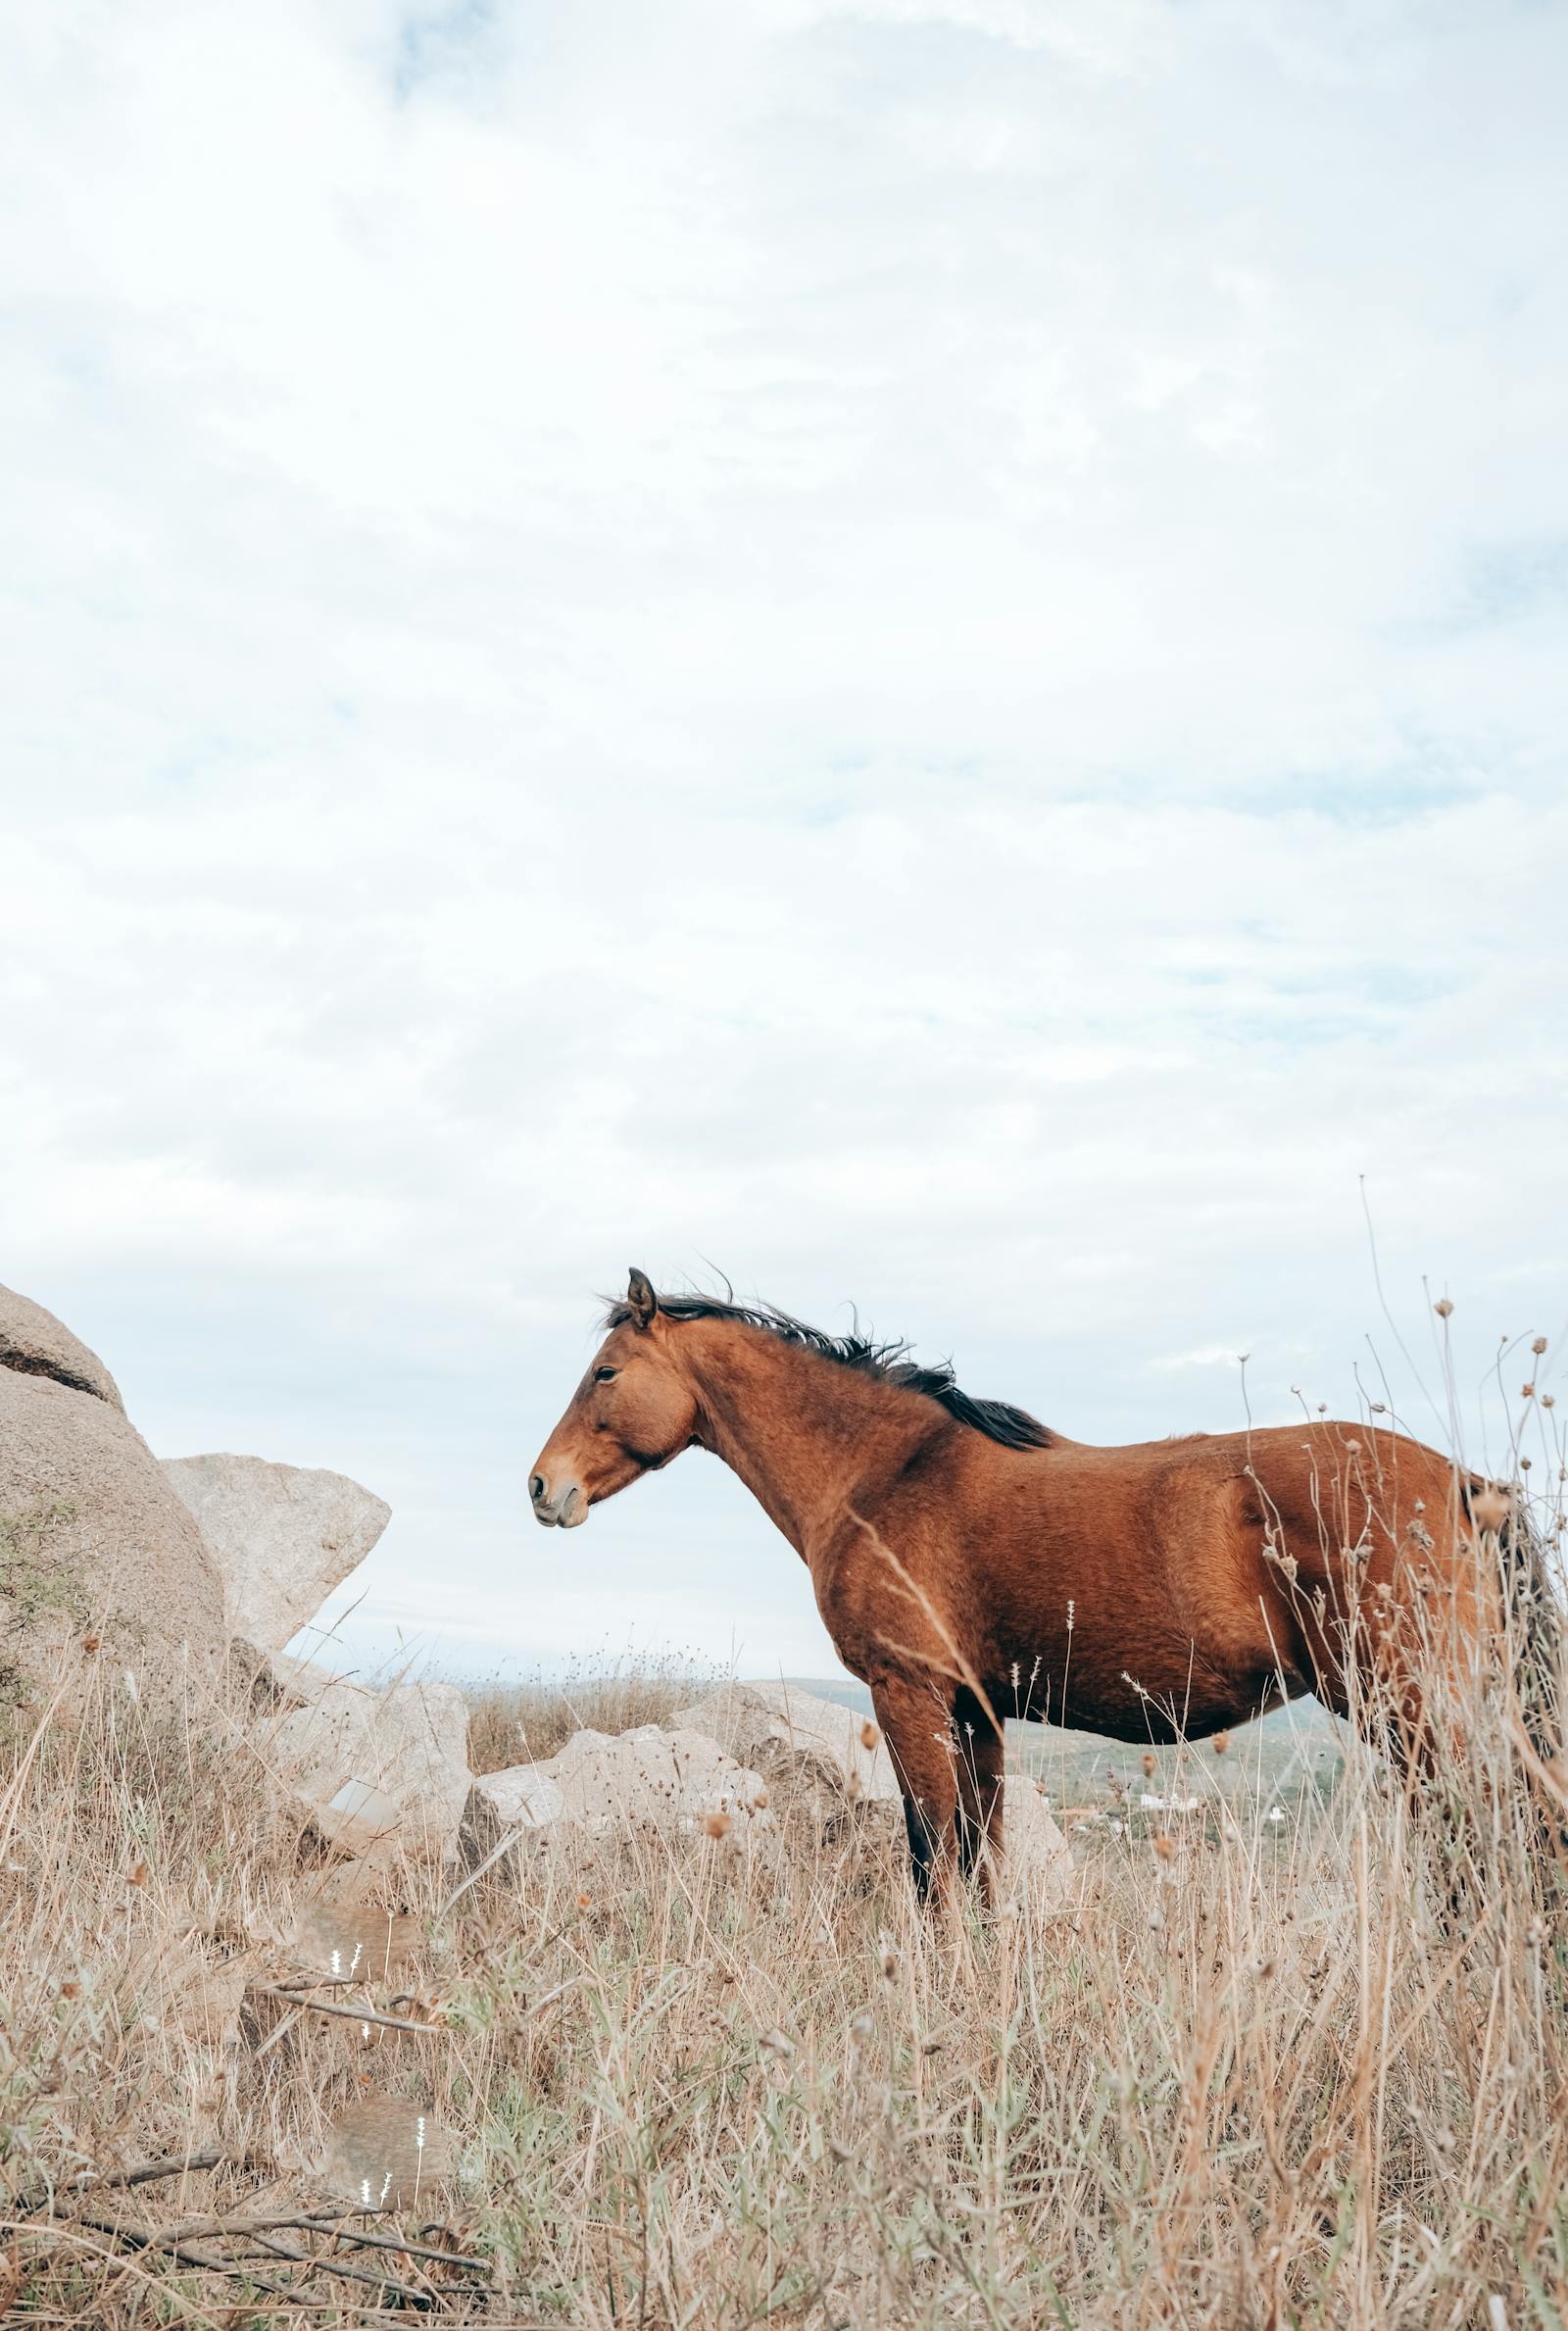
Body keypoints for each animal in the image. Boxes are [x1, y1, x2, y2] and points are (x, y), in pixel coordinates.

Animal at [529, 1271, 1560, 1902]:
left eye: (606, 1372)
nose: (543, 1488)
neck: (883, 1471)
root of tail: (1463, 1487)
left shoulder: (908, 1696)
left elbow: (933, 1862)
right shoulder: (975, 1712)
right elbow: (978, 1866)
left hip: (1413, 1706)